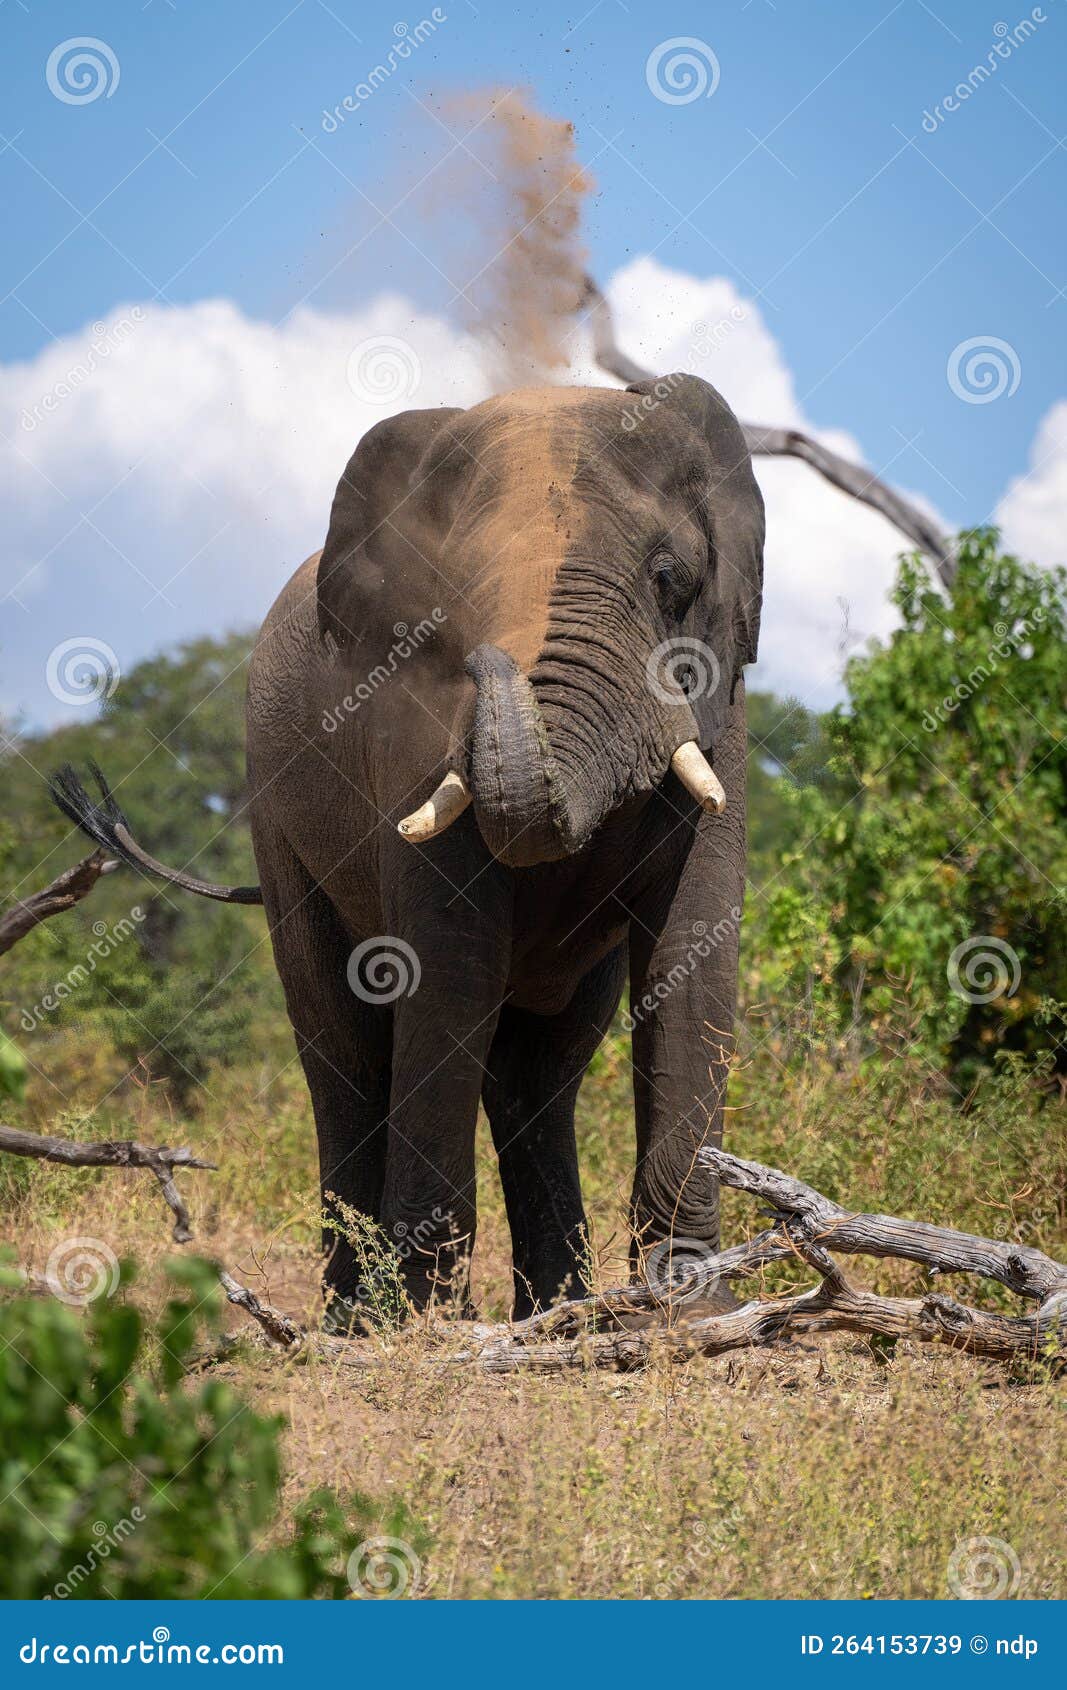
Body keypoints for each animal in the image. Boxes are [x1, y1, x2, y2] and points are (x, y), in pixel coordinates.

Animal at [53, 373, 764, 1327]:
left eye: (668, 580)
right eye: (451, 610)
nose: (492, 661)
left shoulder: (721, 706)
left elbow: (691, 951)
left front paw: (693, 1311)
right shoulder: (406, 728)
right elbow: (449, 963)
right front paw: (424, 1325)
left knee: (541, 1070)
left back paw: (552, 1311)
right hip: (274, 811)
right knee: (346, 1051)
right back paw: (357, 1320)